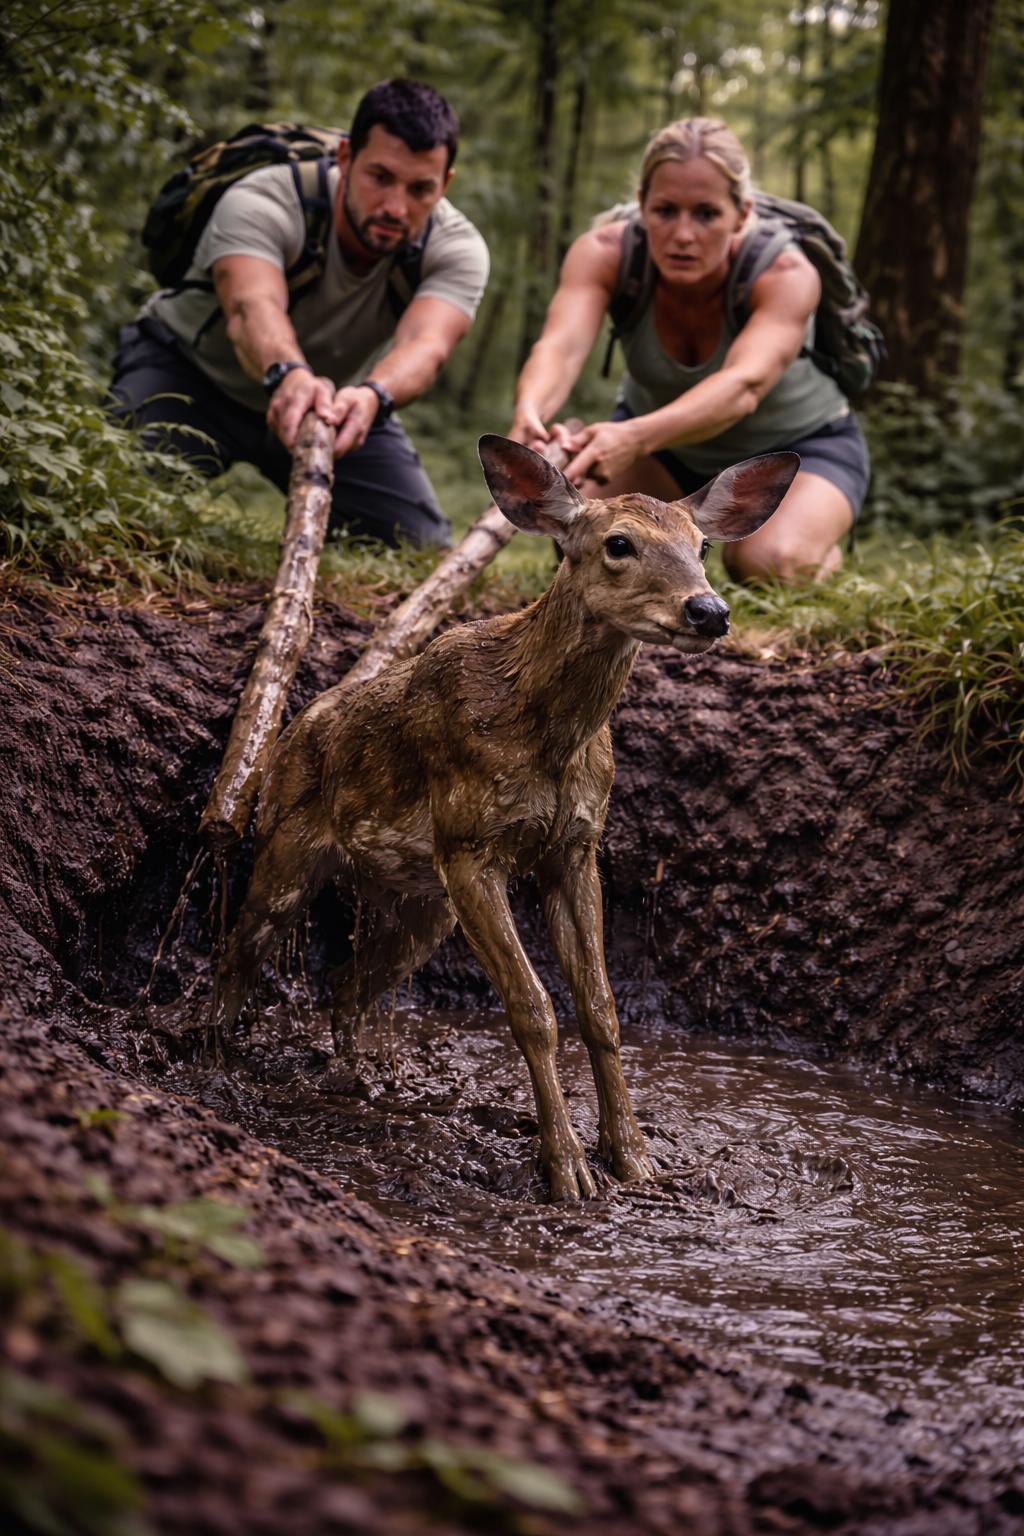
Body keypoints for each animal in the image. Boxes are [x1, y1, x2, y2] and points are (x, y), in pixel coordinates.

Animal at [210, 436, 799, 1201]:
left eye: (701, 544)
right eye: (619, 543)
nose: (709, 610)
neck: (548, 736)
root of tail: (294, 725)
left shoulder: (576, 848)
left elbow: (601, 1007)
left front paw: (635, 1160)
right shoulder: (469, 845)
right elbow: (533, 1009)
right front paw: (567, 1169)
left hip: (421, 907)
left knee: (345, 984)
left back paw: (360, 1081)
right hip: (288, 842)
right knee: (240, 948)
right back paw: (206, 1055)